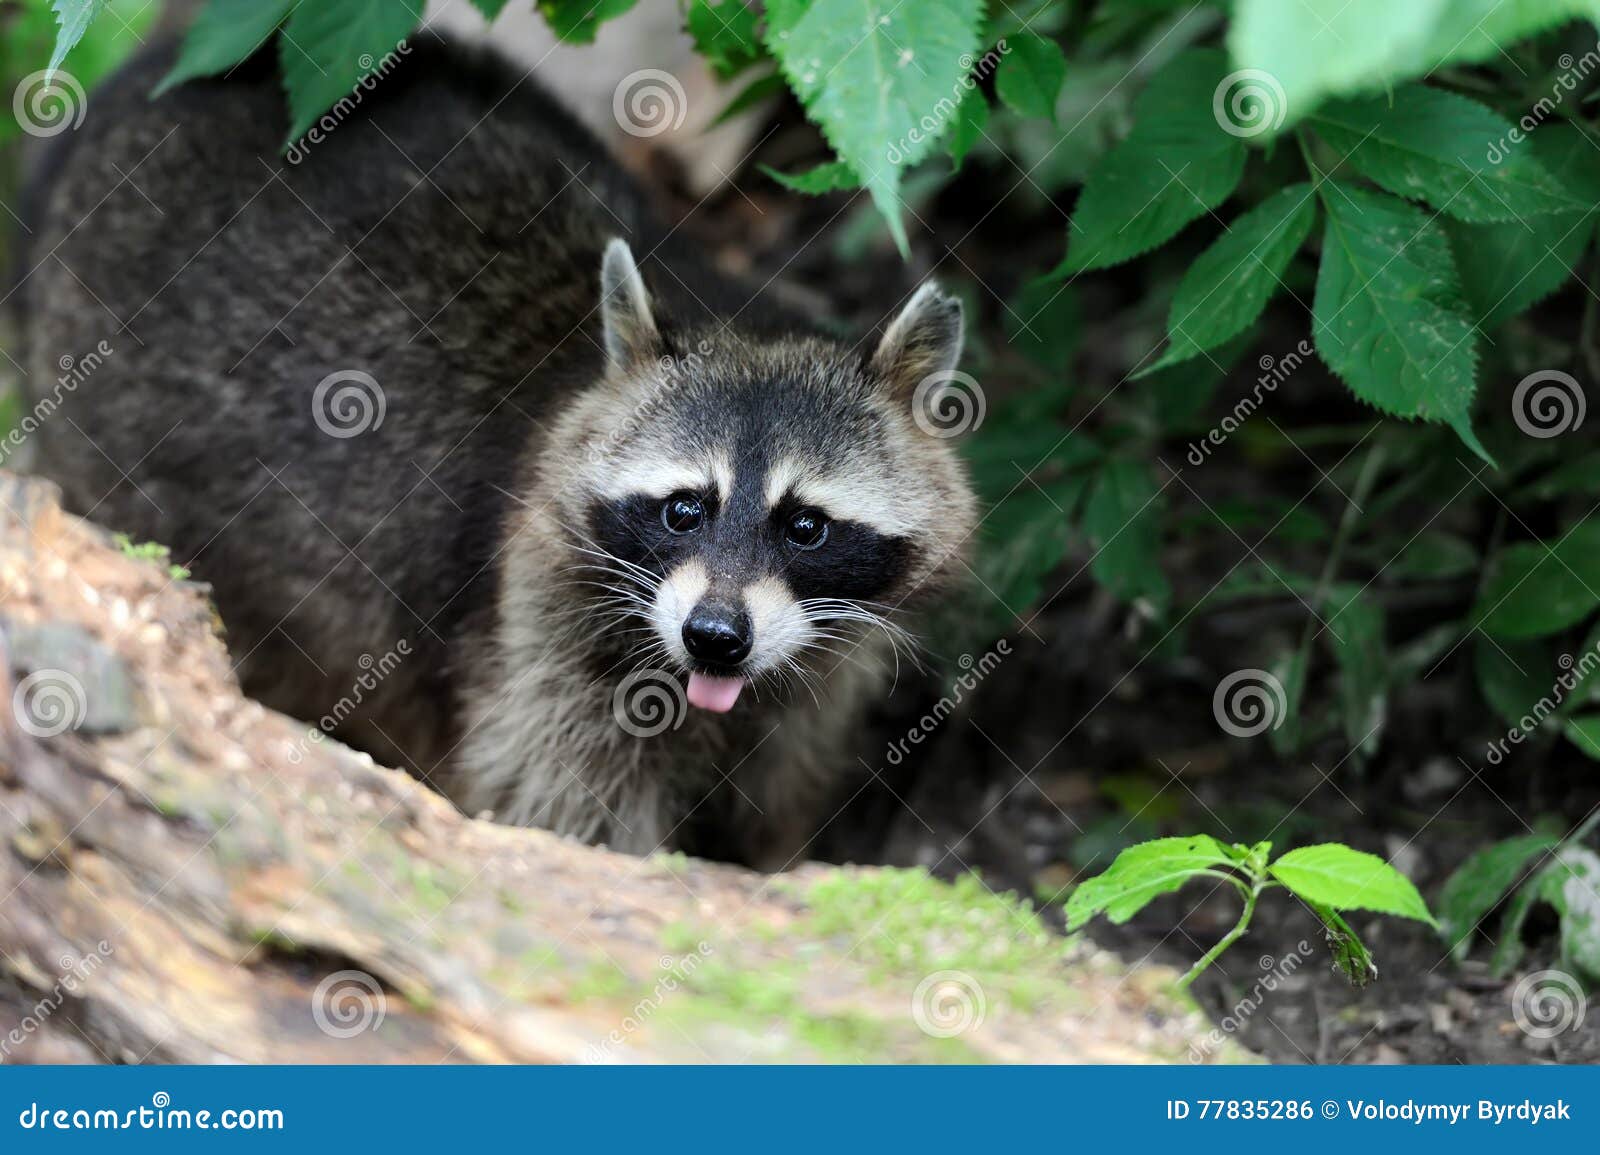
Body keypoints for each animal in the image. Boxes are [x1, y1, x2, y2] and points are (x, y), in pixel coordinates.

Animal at [16, 36, 976, 867]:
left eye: (805, 526)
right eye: (683, 509)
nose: (713, 638)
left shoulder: (824, 664)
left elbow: (779, 793)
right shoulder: (541, 622)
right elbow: (563, 811)